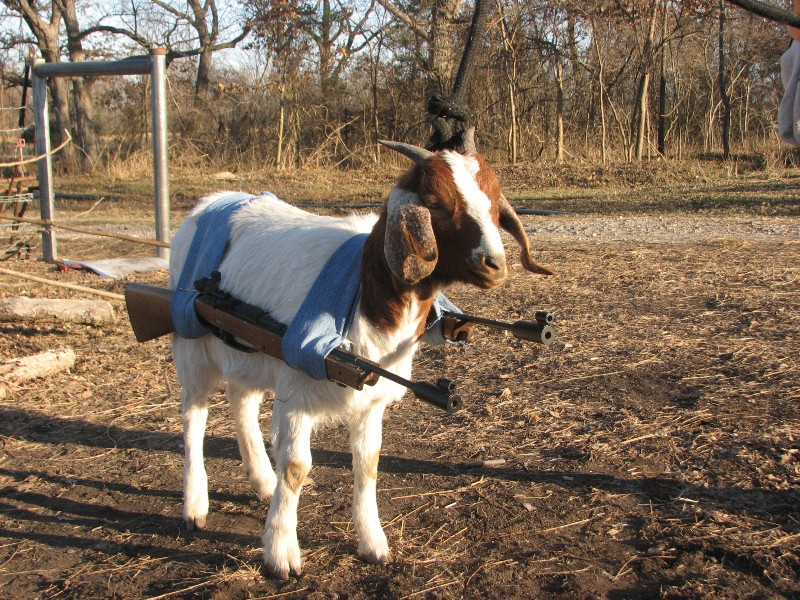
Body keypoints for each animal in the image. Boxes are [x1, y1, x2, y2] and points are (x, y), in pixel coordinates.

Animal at [168, 137, 551, 579]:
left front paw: (373, 544)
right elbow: (296, 468)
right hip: (192, 342)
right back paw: (195, 504)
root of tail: (208, 202)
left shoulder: (371, 401)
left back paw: (262, 481)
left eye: (493, 201)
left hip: (248, 353)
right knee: (193, 415)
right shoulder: (296, 391)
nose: (495, 264)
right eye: (435, 201)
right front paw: (281, 554)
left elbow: (368, 463)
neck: (363, 291)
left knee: (241, 400)